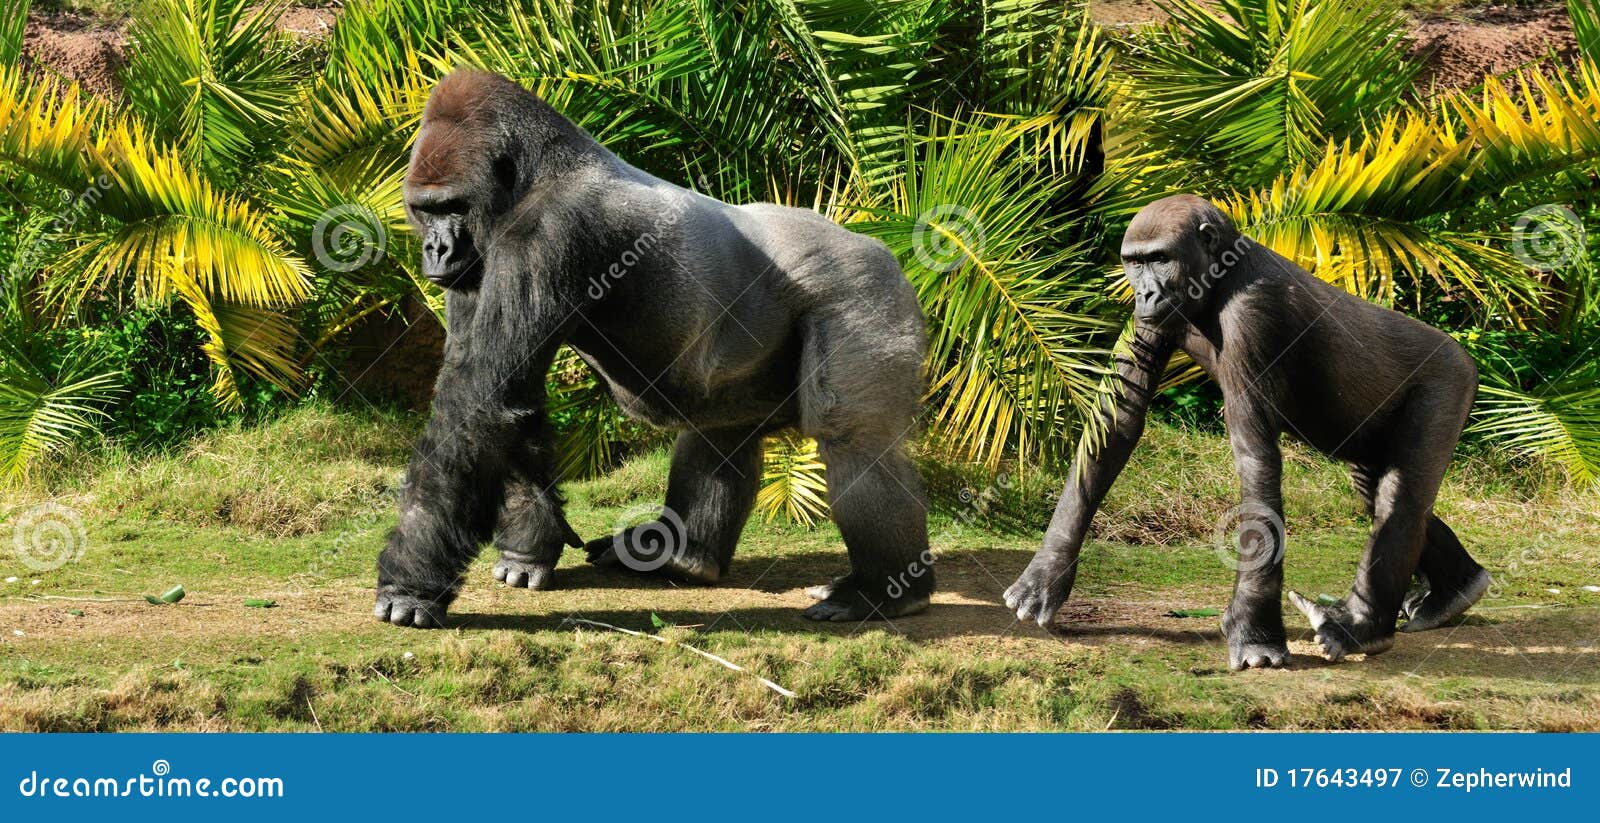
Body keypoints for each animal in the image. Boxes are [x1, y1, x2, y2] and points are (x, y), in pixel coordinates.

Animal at [372, 69, 931, 628]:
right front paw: (529, 544)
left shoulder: (546, 233)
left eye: (451, 207)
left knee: (854, 440)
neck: (539, 175)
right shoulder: (475, 266)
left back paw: (885, 590)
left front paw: (410, 586)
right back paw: (685, 558)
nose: (435, 249)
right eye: (423, 211)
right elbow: (506, 403)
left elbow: (481, 406)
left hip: (865, 292)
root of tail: (884, 249)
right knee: (720, 431)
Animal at [1004, 194, 1492, 669]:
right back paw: (1455, 591)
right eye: (1134, 262)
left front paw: (1255, 633)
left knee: (1400, 498)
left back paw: (1362, 629)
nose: (1144, 292)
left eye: (1159, 258)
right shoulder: (1149, 318)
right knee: (1376, 486)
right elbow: (1115, 422)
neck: (1221, 274)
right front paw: (1047, 573)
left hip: (1450, 378)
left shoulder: (1253, 314)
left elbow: (1256, 461)